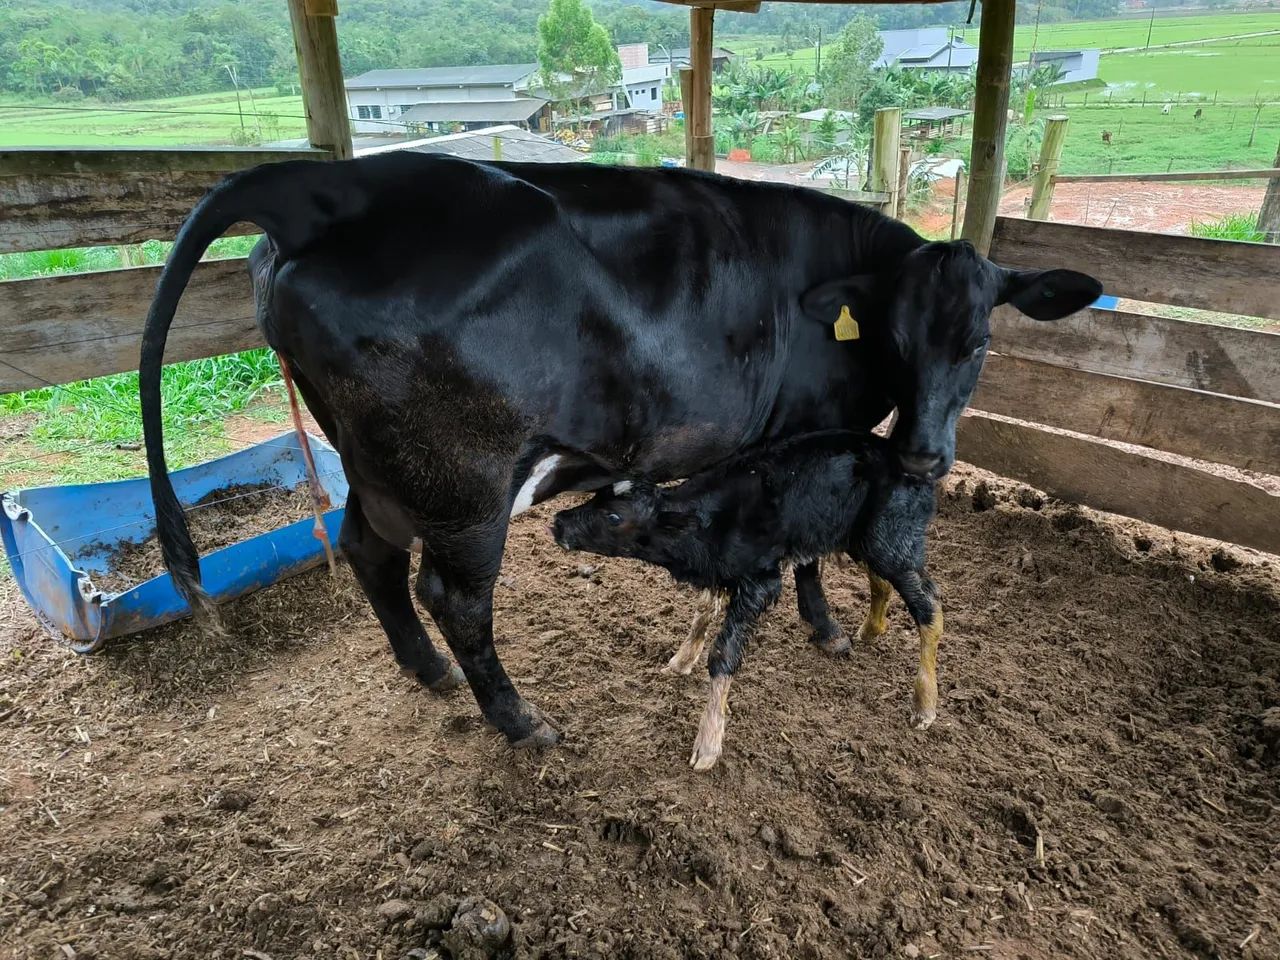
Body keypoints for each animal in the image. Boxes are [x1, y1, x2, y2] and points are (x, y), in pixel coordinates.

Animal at [551, 429, 941, 769]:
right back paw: (870, 630)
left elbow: (724, 653)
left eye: (614, 517)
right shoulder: (720, 573)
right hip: (862, 538)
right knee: (884, 582)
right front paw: (680, 661)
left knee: (928, 603)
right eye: (597, 496)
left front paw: (707, 744)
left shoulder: (760, 580)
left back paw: (923, 706)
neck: (708, 527)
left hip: (889, 537)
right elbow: (703, 610)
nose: (558, 522)